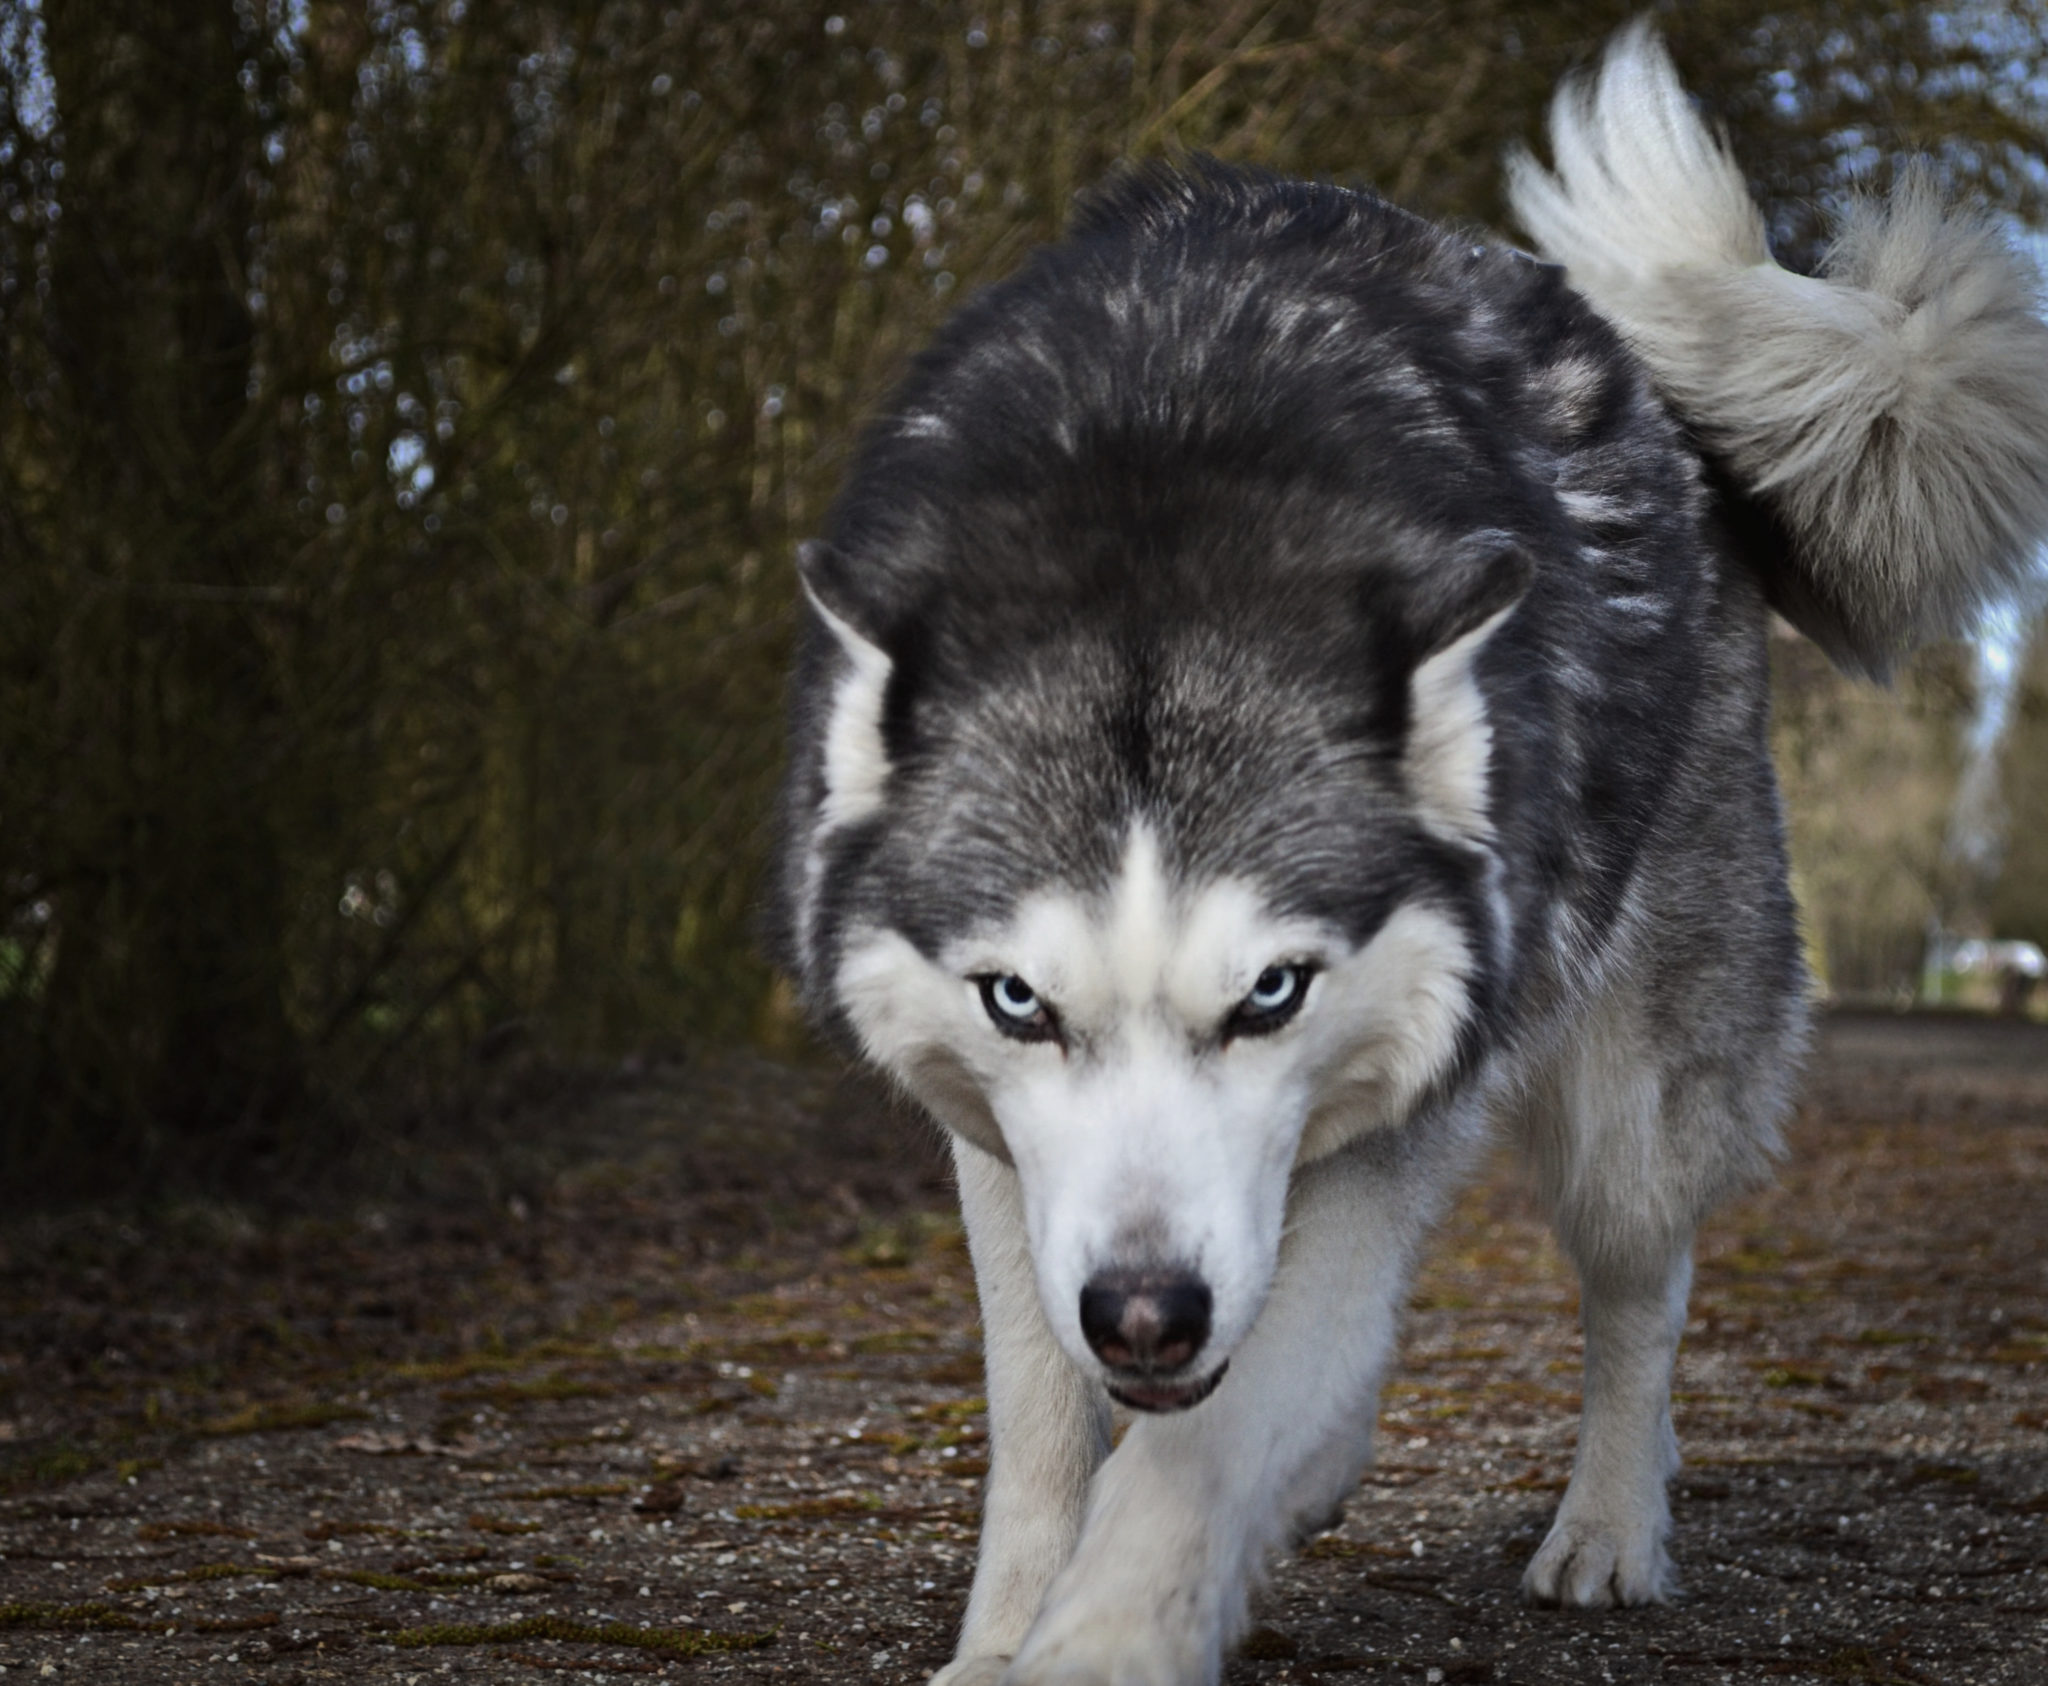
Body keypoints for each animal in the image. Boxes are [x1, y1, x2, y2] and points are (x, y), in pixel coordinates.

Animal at [769, 23, 2048, 1686]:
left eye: (1272, 992)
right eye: (1017, 1002)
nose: (1145, 1315)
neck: (1160, 489)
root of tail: (1661, 402)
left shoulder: (1386, 1129)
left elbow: (1198, 1454)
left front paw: (1104, 1633)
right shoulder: (1006, 1164)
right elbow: (1047, 1426)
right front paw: (1004, 1639)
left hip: (1630, 1106)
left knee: (1642, 1291)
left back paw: (1608, 1531)